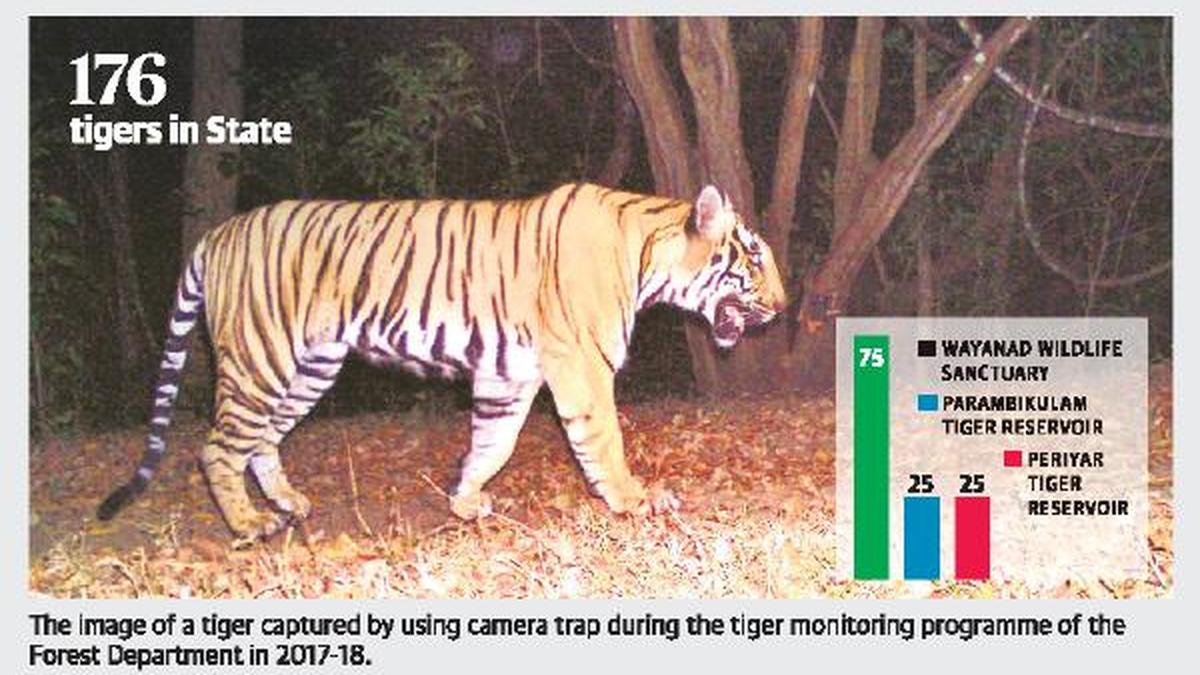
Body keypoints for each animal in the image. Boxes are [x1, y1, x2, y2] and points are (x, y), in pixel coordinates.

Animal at [97, 182, 786, 545]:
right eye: (753, 258)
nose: (782, 307)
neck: (647, 254)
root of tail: (217, 234)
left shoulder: (510, 373)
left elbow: (492, 442)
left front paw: (464, 501)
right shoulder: (583, 364)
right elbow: (604, 439)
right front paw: (633, 500)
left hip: (310, 366)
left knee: (260, 440)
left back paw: (289, 504)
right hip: (259, 357)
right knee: (218, 447)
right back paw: (248, 523)